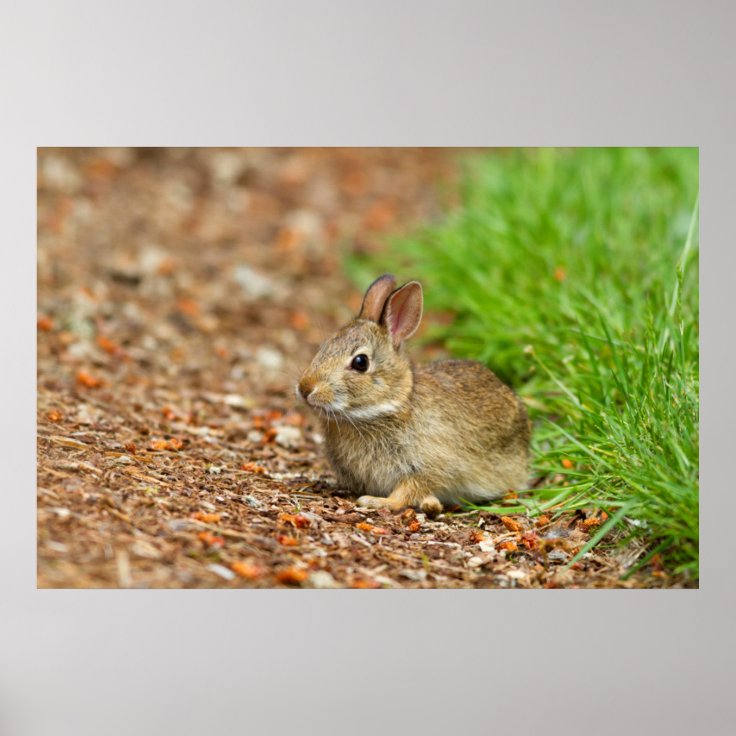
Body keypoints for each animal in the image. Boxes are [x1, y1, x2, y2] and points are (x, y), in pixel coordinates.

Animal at [296, 274, 531, 516]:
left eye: (360, 362)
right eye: (324, 347)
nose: (305, 389)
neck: (389, 405)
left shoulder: (431, 466)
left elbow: (409, 488)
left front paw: (377, 502)